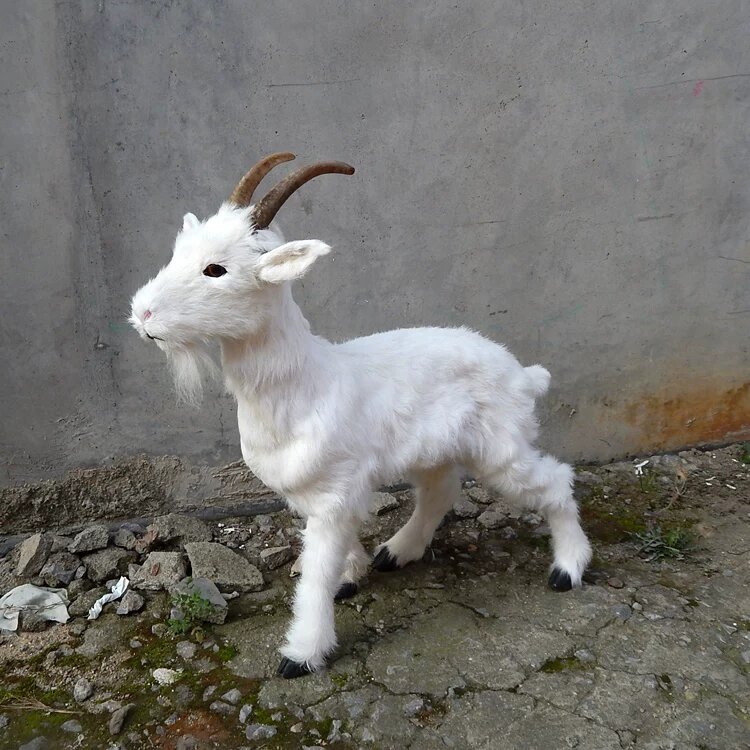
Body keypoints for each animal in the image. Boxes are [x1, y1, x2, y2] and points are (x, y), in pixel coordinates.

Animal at [130, 152, 592, 679]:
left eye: (215, 269)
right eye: (177, 253)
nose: (142, 315)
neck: (307, 381)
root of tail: (524, 375)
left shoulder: (334, 493)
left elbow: (315, 573)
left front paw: (301, 655)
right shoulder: (321, 493)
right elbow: (339, 549)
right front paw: (352, 574)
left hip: (502, 451)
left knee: (555, 481)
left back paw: (567, 569)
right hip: (435, 453)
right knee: (441, 490)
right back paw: (397, 552)